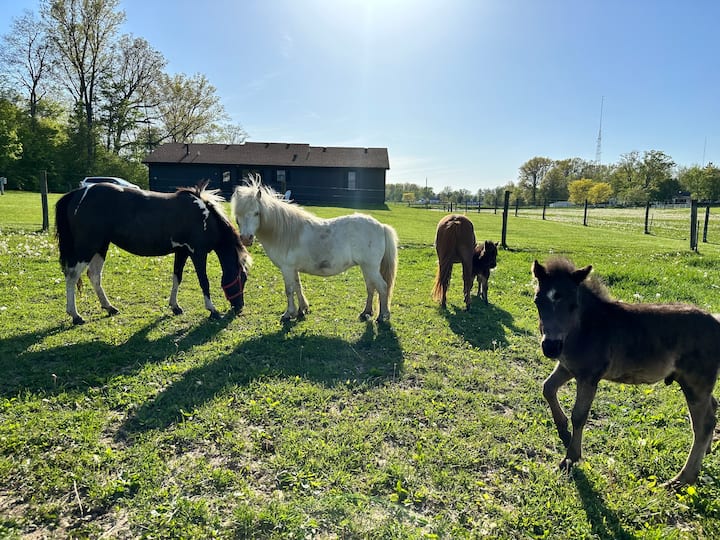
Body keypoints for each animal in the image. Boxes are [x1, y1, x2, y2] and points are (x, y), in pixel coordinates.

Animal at [55, 180, 252, 325]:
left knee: (94, 275)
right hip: (87, 247)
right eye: (242, 278)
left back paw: (109, 308)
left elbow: (177, 277)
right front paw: (212, 310)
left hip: (101, 246)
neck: (203, 216)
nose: (240, 307)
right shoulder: (198, 253)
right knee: (72, 276)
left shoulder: (182, 252)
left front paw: (175, 306)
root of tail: (79, 193)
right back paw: (75, 315)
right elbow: (204, 281)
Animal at [230, 174, 398, 322]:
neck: (285, 231)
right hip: (367, 268)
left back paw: (383, 316)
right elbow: (298, 287)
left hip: (370, 267)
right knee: (371, 287)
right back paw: (366, 313)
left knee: (383, 287)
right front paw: (302, 309)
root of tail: (381, 226)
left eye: (256, 213)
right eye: (238, 215)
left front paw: (288, 314)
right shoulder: (293, 269)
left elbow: (289, 290)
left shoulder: (287, 268)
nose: (246, 239)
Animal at [532, 257, 720, 487]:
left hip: (695, 383)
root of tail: (717, 322)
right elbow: (547, 388)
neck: (584, 328)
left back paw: (680, 480)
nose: (550, 347)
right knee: (713, 407)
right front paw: (563, 430)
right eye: (538, 302)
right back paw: (705, 453)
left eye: (572, 305)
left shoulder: (589, 376)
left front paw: (570, 457)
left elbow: (579, 415)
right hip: (695, 383)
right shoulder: (567, 367)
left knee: (703, 425)